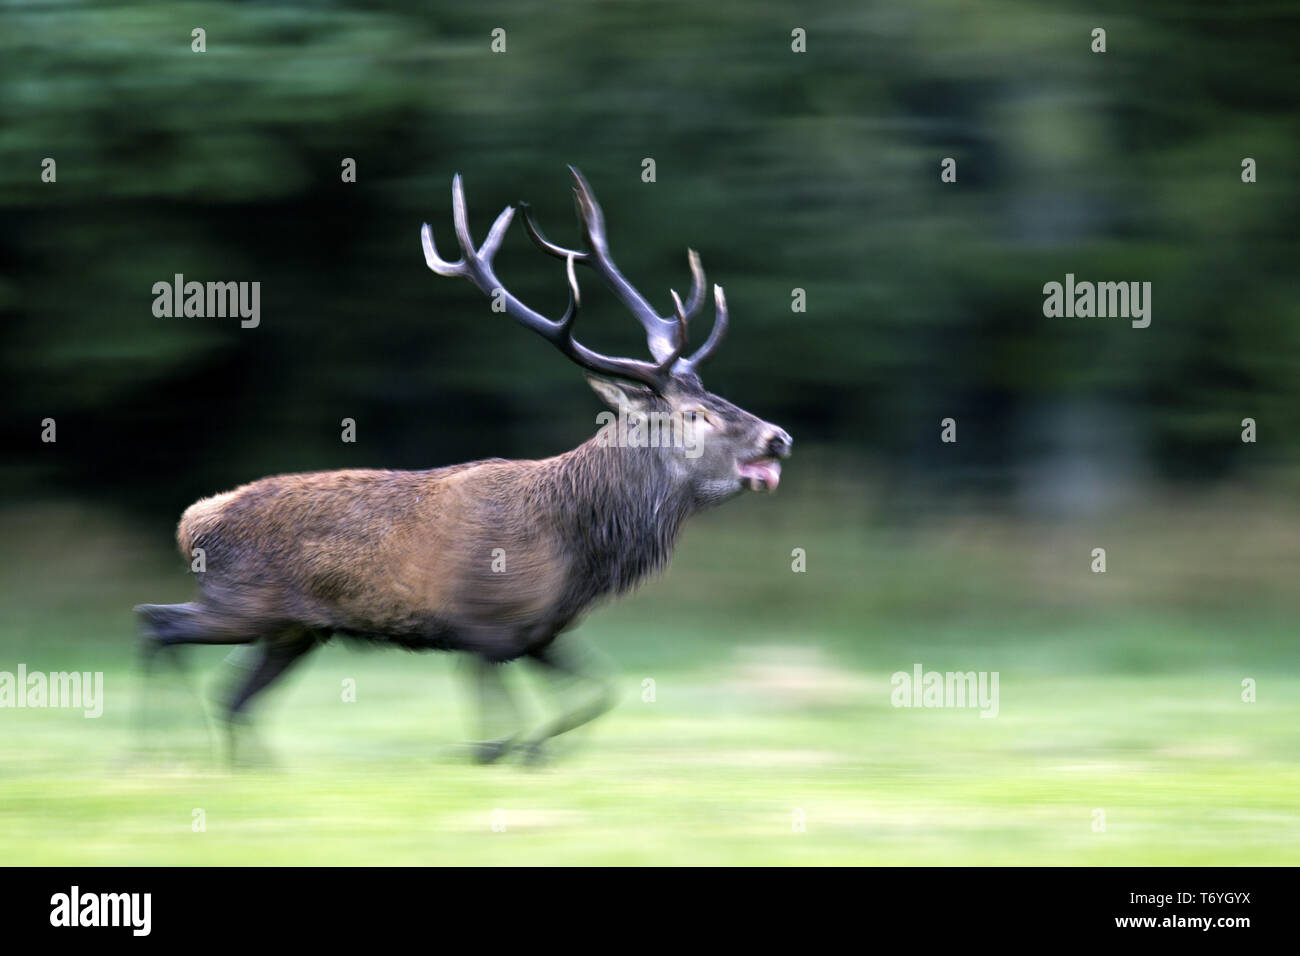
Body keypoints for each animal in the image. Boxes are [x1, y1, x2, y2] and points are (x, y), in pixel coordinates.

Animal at [135, 167, 792, 764]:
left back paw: (248, 764)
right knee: (156, 623)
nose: (779, 436)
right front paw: (504, 751)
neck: (578, 549)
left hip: (291, 629)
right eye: (695, 415)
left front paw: (531, 751)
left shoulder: (539, 633)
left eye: (718, 397)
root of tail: (193, 521)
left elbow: (598, 695)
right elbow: (499, 731)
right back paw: (154, 747)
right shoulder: (483, 624)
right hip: (242, 601)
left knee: (232, 695)